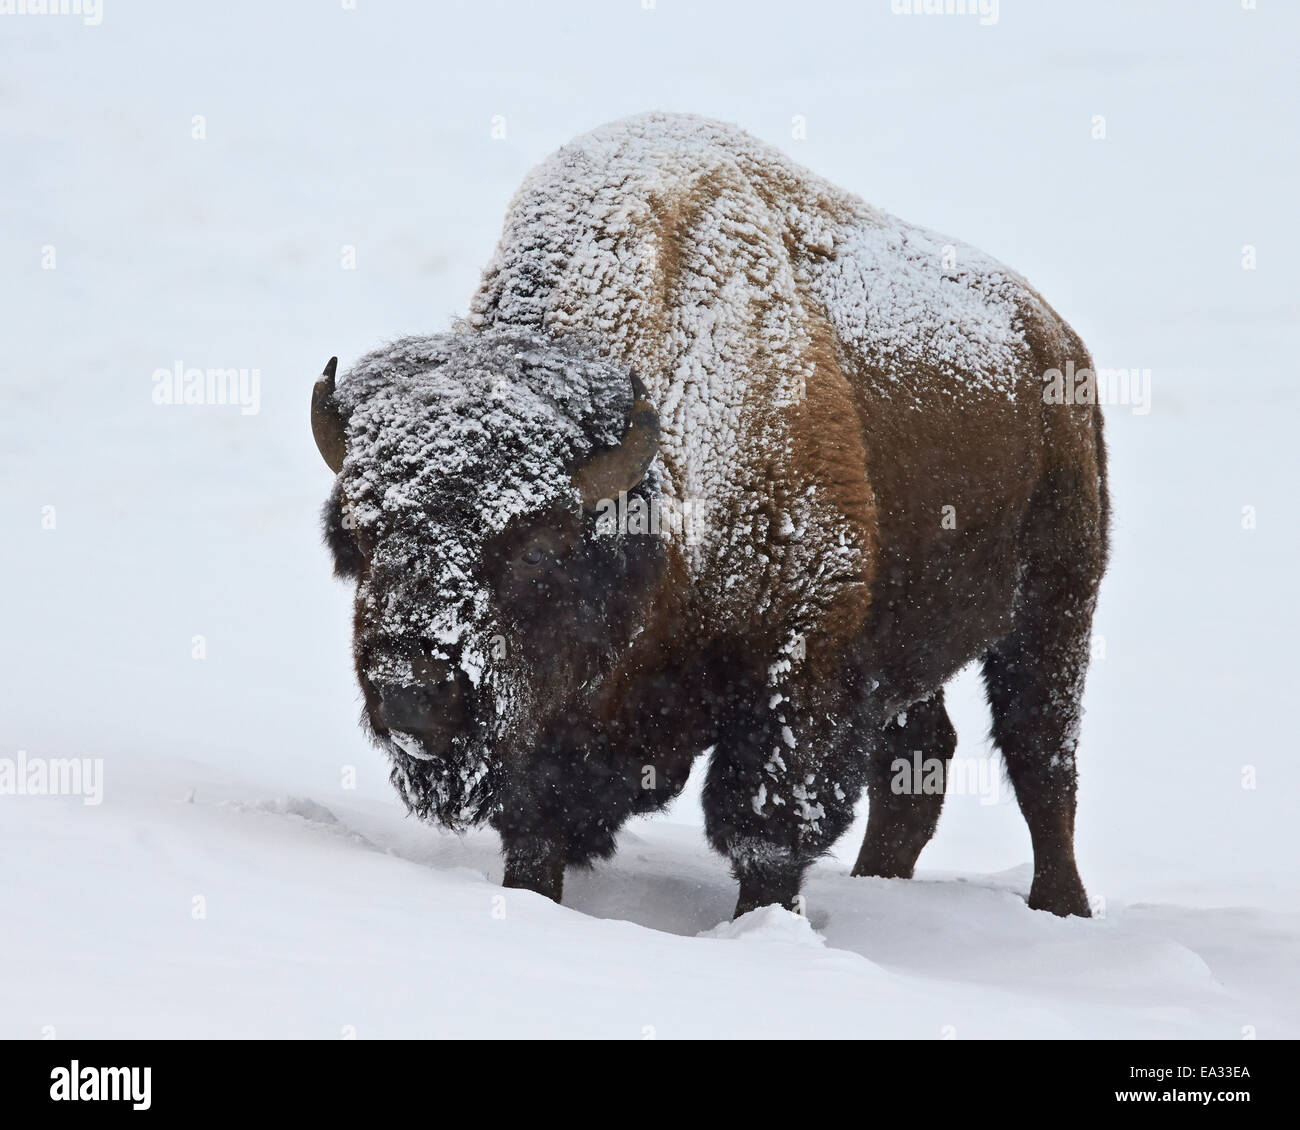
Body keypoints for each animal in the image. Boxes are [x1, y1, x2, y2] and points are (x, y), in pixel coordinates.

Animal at [312, 112, 1108, 919]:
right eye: (360, 539)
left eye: (535, 548)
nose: (410, 690)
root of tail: (1054, 335)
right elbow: (537, 831)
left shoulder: (798, 665)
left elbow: (764, 830)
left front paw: (764, 925)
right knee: (920, 761)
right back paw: (876, 883)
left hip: (1056, 605)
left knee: (1042, 757)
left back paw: (1061, 906)